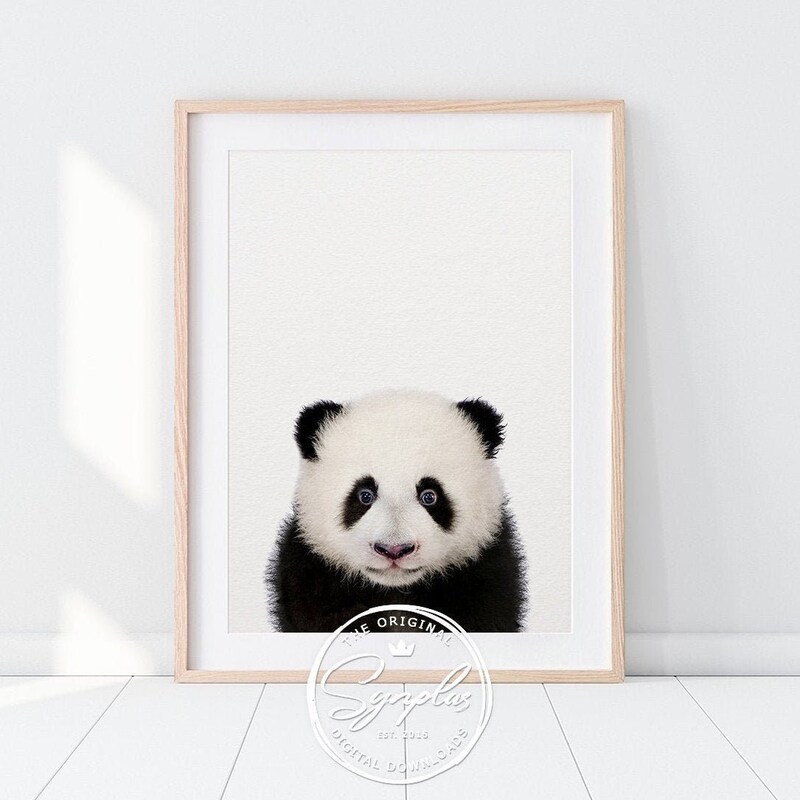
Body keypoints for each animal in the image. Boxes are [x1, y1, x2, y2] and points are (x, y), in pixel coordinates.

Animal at [265, 390, 527, 632]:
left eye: (430, 496)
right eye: (365, 495)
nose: (394, 550)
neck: (395, 590)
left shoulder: (484, 574)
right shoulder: (314, 574)